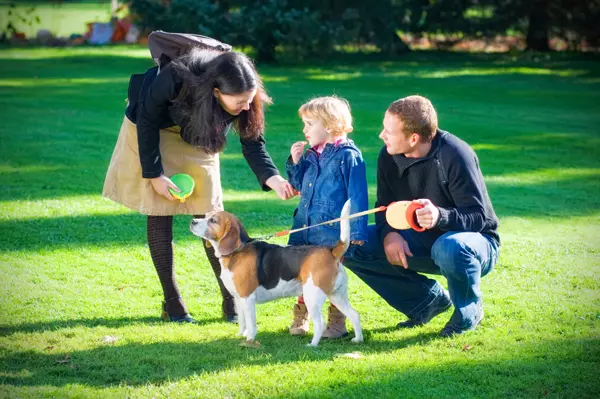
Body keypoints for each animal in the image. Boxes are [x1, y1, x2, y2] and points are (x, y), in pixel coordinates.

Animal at [190, 202, 364, 348]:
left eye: (213, 220)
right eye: (206, 216)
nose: (192, 221)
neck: (238, 250)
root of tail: (332, 252)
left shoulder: (247, 298)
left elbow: (251, 324)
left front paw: (249, 341)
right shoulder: (238, 299)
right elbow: (242, 321)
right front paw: (240, 335)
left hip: (312, 296)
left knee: (320, 323)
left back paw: (313, 344)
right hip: (337, 296)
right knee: (354, 315)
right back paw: (358, 339)